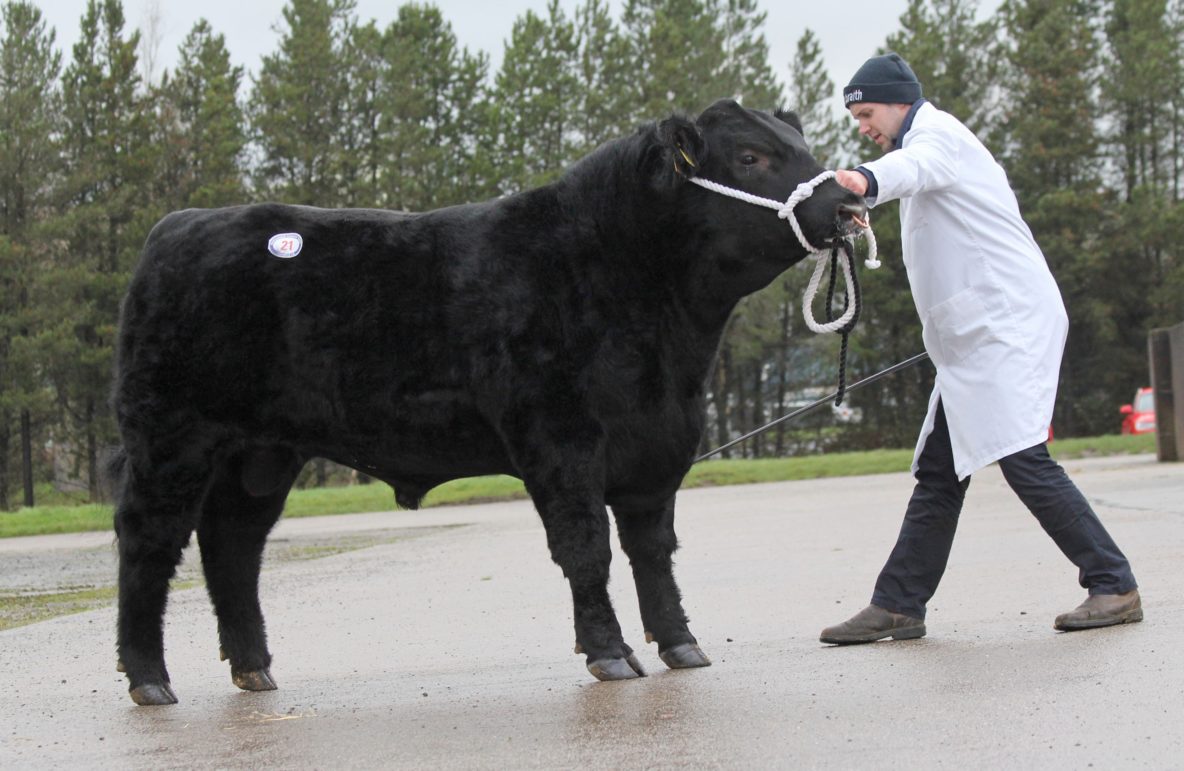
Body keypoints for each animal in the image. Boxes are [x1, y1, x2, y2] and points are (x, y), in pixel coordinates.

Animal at [109, 98, 866, 705]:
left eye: (799, 146)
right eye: (750, 155)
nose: (849, 204)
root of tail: (178, 225)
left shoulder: (657, 447)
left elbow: (654, 550)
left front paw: (681, 644)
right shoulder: (560, 441)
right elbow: (587, 550)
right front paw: (610, 653)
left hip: (262, 453)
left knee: (232, 546)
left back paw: (254, 668)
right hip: (170, 436)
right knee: (150, 542)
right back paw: (149, 678)